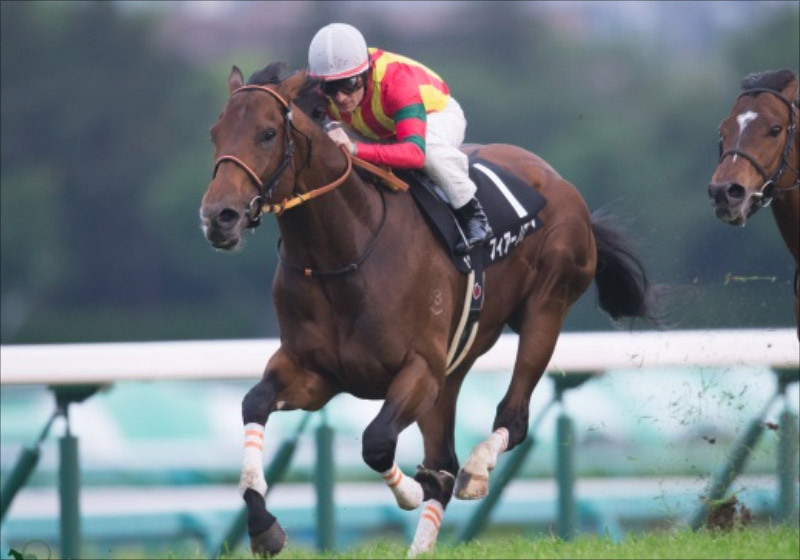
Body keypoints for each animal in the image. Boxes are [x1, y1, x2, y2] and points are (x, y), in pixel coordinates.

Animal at [200, 62, 657, 557]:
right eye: (215, 134)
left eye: (267, 133)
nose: (218, 217)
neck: (343, 252)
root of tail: (559, 182)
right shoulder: (313, 373)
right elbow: (253, 403)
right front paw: (262, 525)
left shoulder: (418, 368)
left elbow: (377, 442)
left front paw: (410, 489)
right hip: (456, 364)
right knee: (446, 457)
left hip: (545, 309)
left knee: (509, 422)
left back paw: (477, 468)